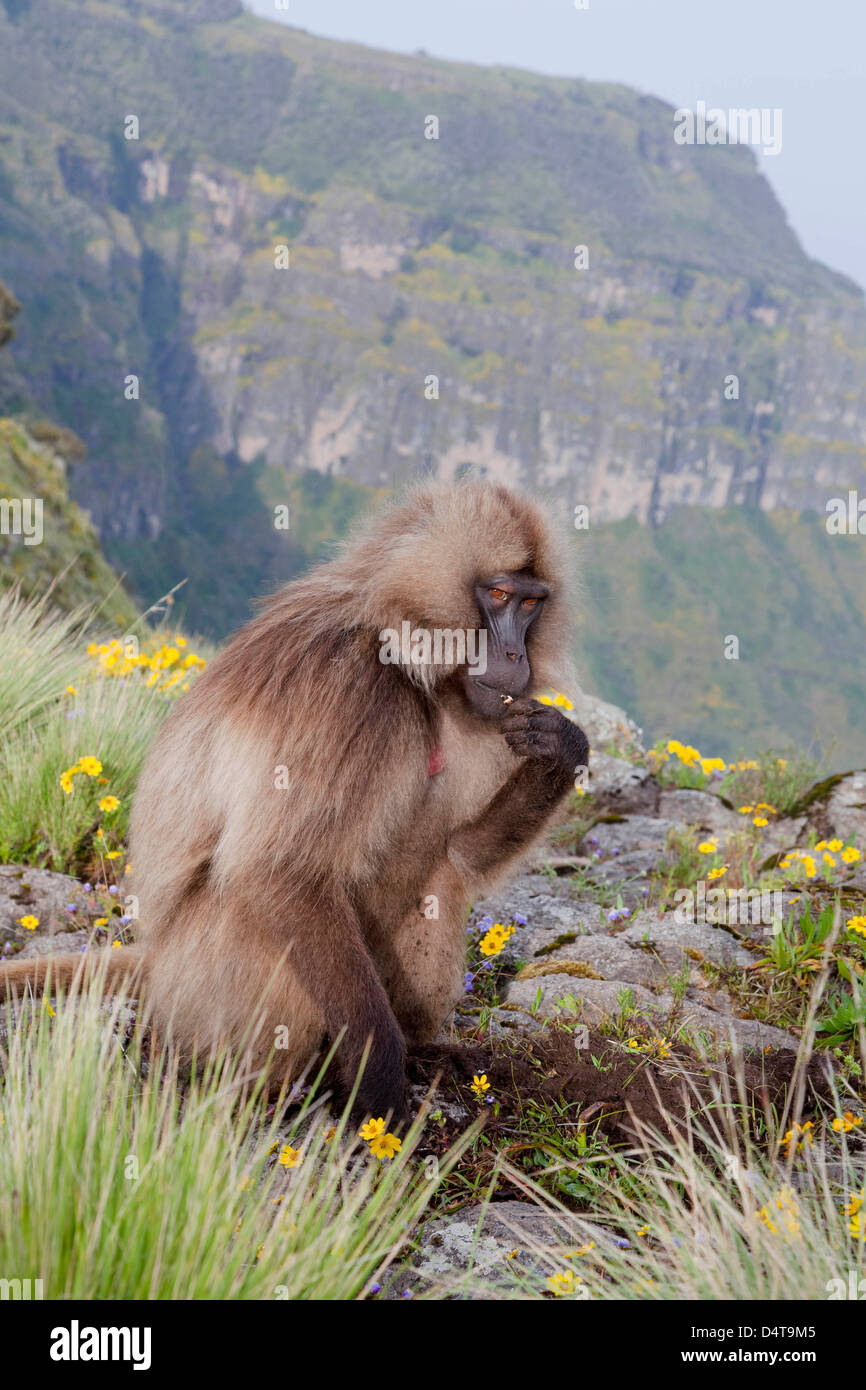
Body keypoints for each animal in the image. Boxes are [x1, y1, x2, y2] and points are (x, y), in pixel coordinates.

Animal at [1, 482, 588, 1124]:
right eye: (499, 595)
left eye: (532, 604)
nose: (513, 657)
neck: (402, 652)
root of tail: (154, 957)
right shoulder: (346, 693)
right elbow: (280, 871)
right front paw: (380, 1079)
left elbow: (461, 852)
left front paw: (561, 748)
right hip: (194, 982)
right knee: (256, 900)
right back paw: (267, 1088)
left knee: (437, 875)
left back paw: (422, 1049)